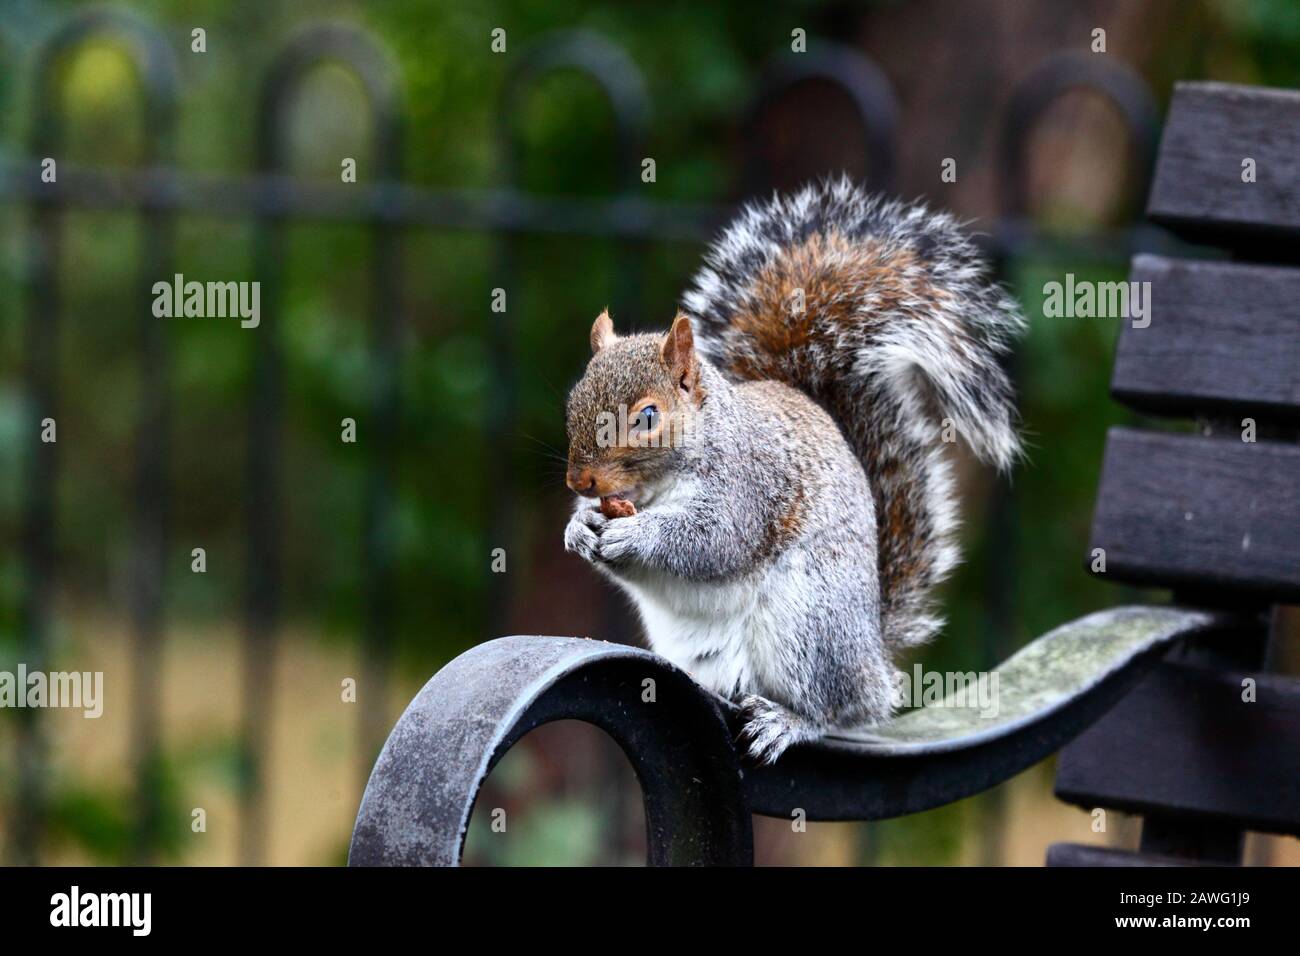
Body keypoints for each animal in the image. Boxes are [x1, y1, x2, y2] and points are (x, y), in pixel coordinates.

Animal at [563, 177, 1024, 764]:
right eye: (573, 399)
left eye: (648, 416)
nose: (581, 482)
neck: (656, 488)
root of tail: (874, 652)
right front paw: (580, 526)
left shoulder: (749, 488)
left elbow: (713, 540)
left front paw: (637, 535)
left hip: (810, 622)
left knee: (836, 708)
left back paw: (788, 721)